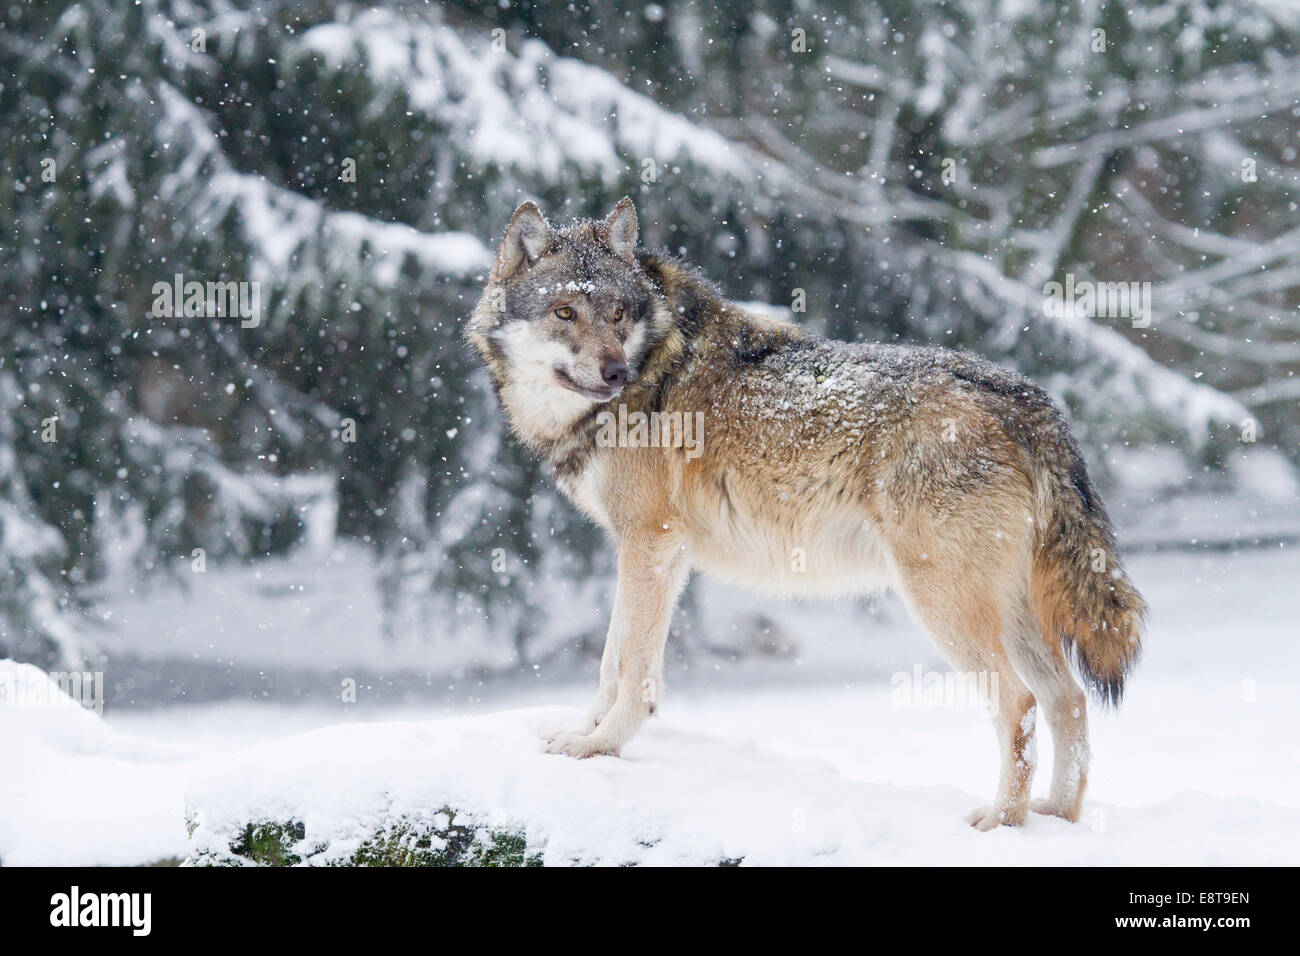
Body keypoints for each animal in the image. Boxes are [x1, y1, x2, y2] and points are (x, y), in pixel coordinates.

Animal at [467, 198, 1146, 829]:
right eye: (565, 313)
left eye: (617, 315)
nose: (614, 372)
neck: (651, 364)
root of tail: (1026, 400)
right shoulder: (661, 554)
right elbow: (612, 661)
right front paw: (582, 734)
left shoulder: (647, 543)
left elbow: (631, 668)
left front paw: (600, 746)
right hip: (1012, 610)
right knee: (1069, 700)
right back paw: (1054, 817)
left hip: (942, 602)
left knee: (1021, 704)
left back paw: (1000, 822)